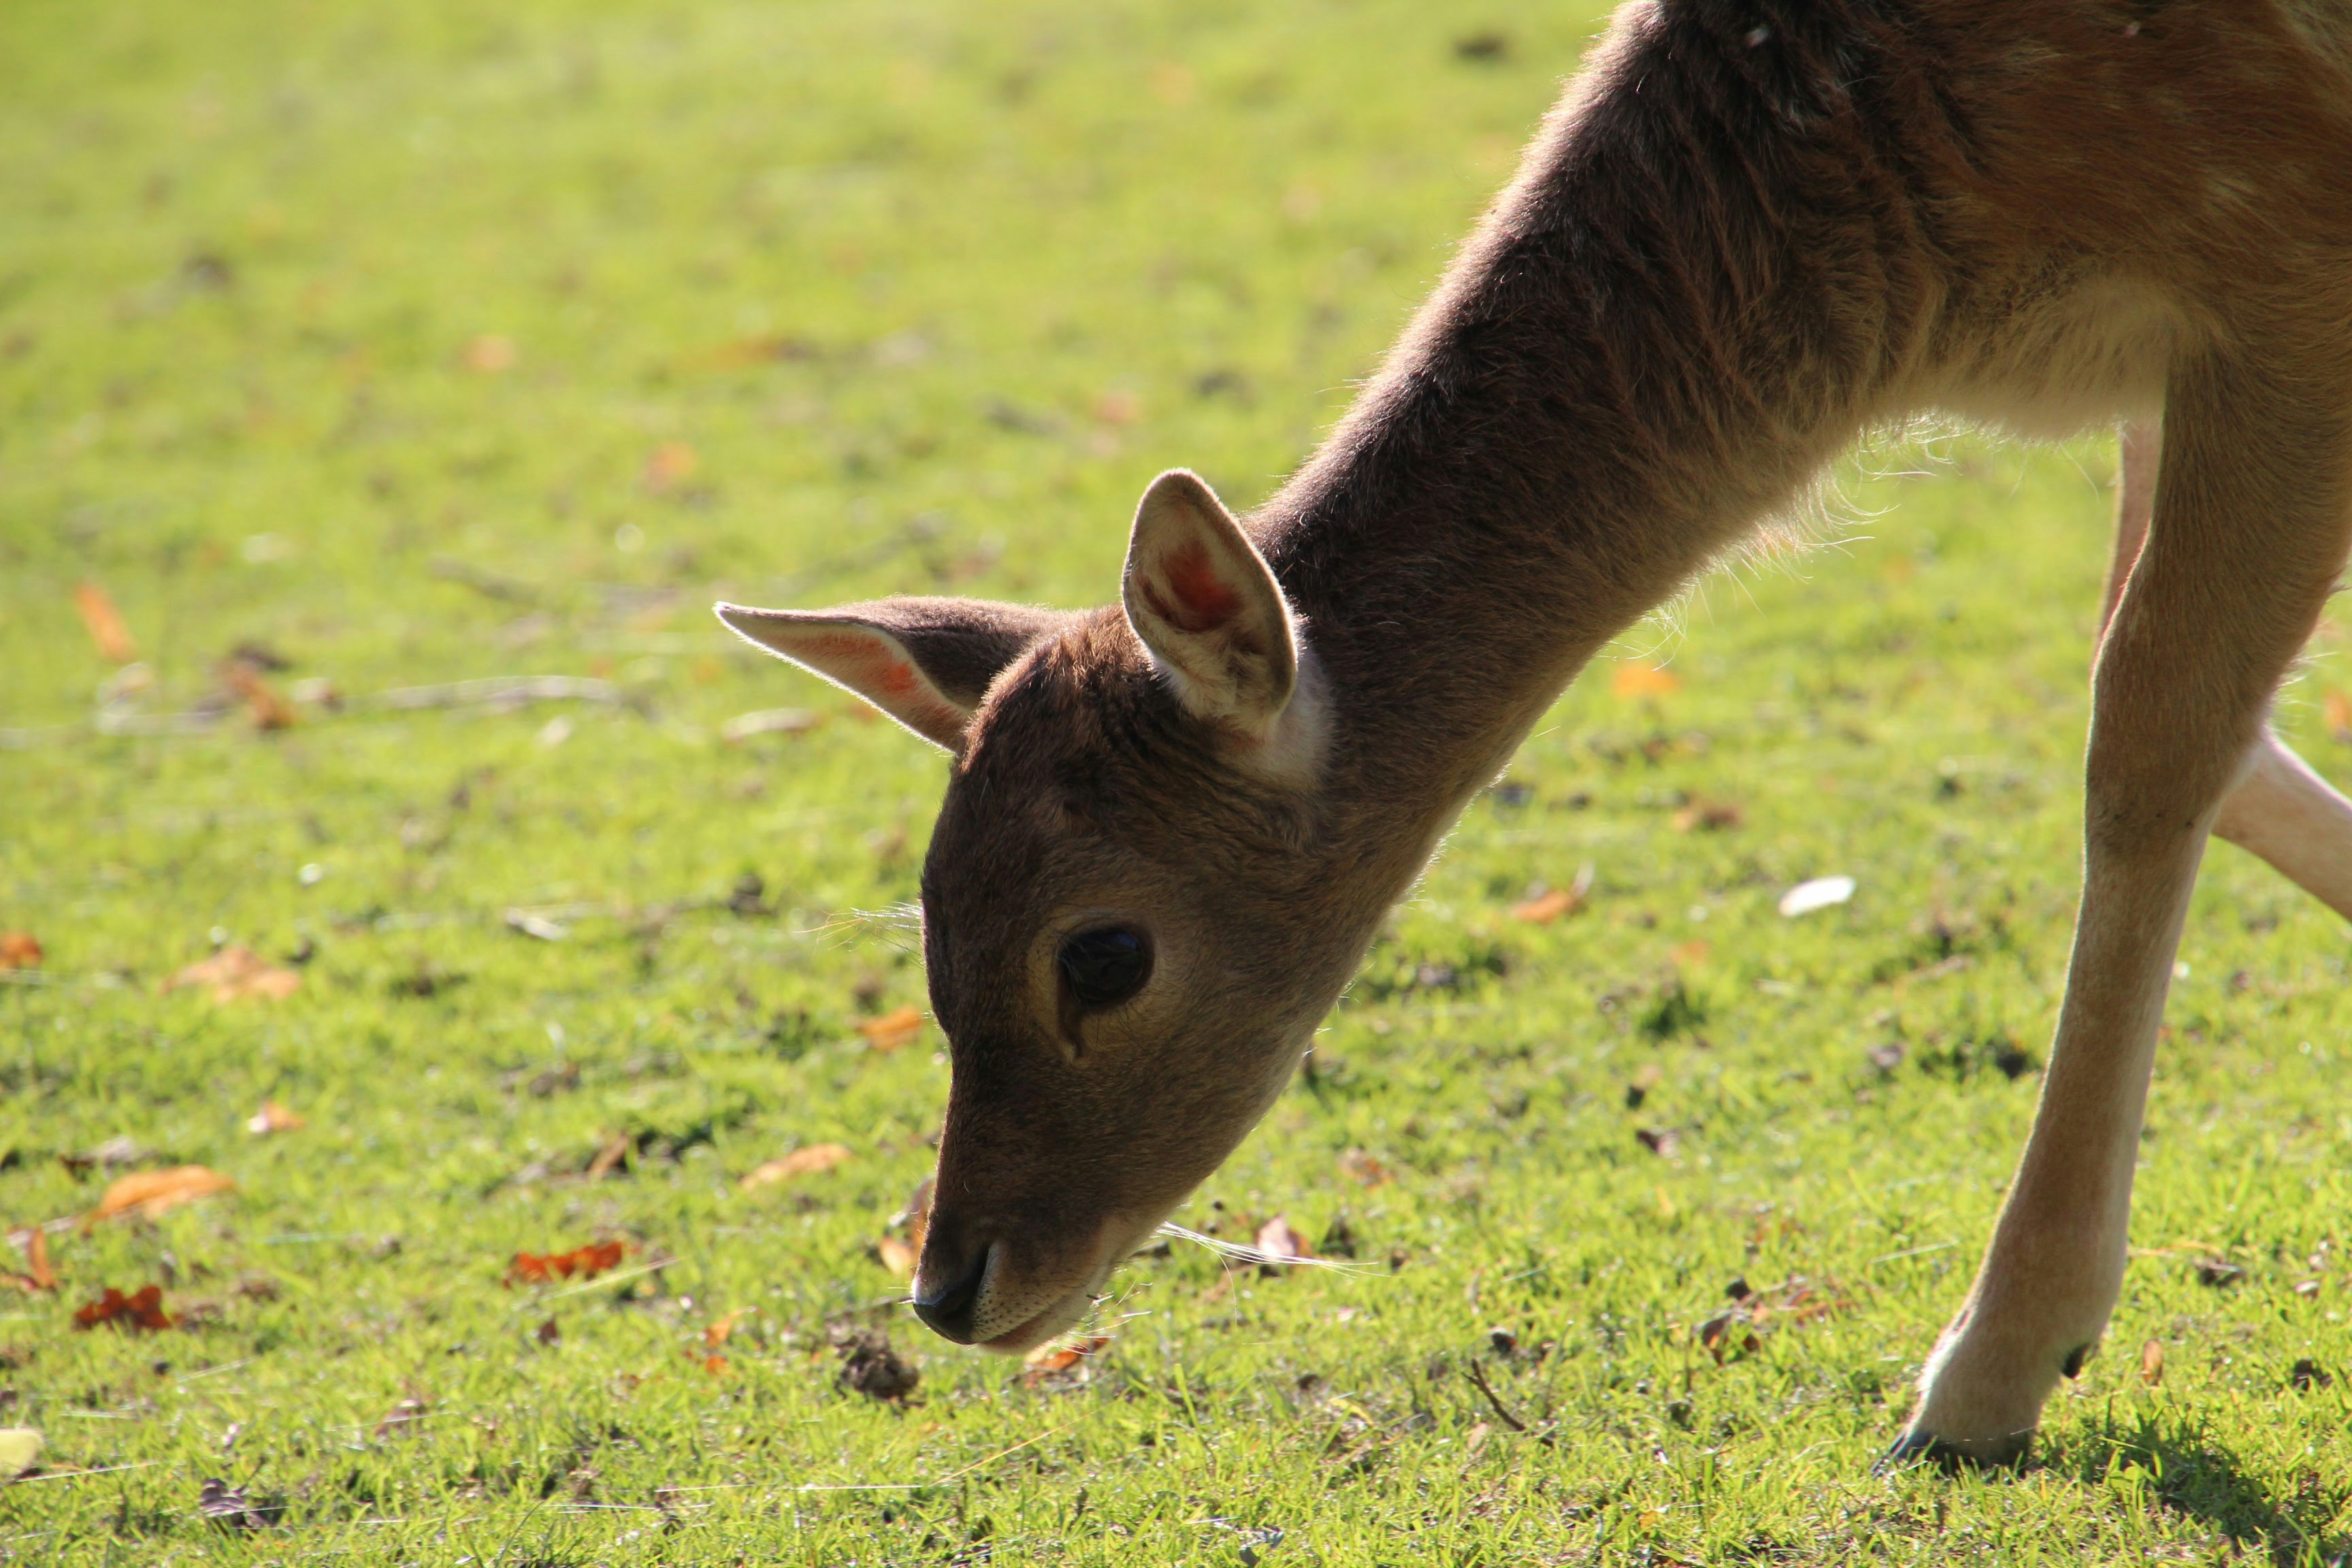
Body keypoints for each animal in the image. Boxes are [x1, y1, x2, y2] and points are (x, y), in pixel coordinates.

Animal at [716, 0, 2352, 1468]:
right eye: (928, 920)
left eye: (1104, 952)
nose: (947, 1288)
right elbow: (2209, 737)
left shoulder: (2280, 285)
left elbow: (2149, 743)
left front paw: (1987, 1377)